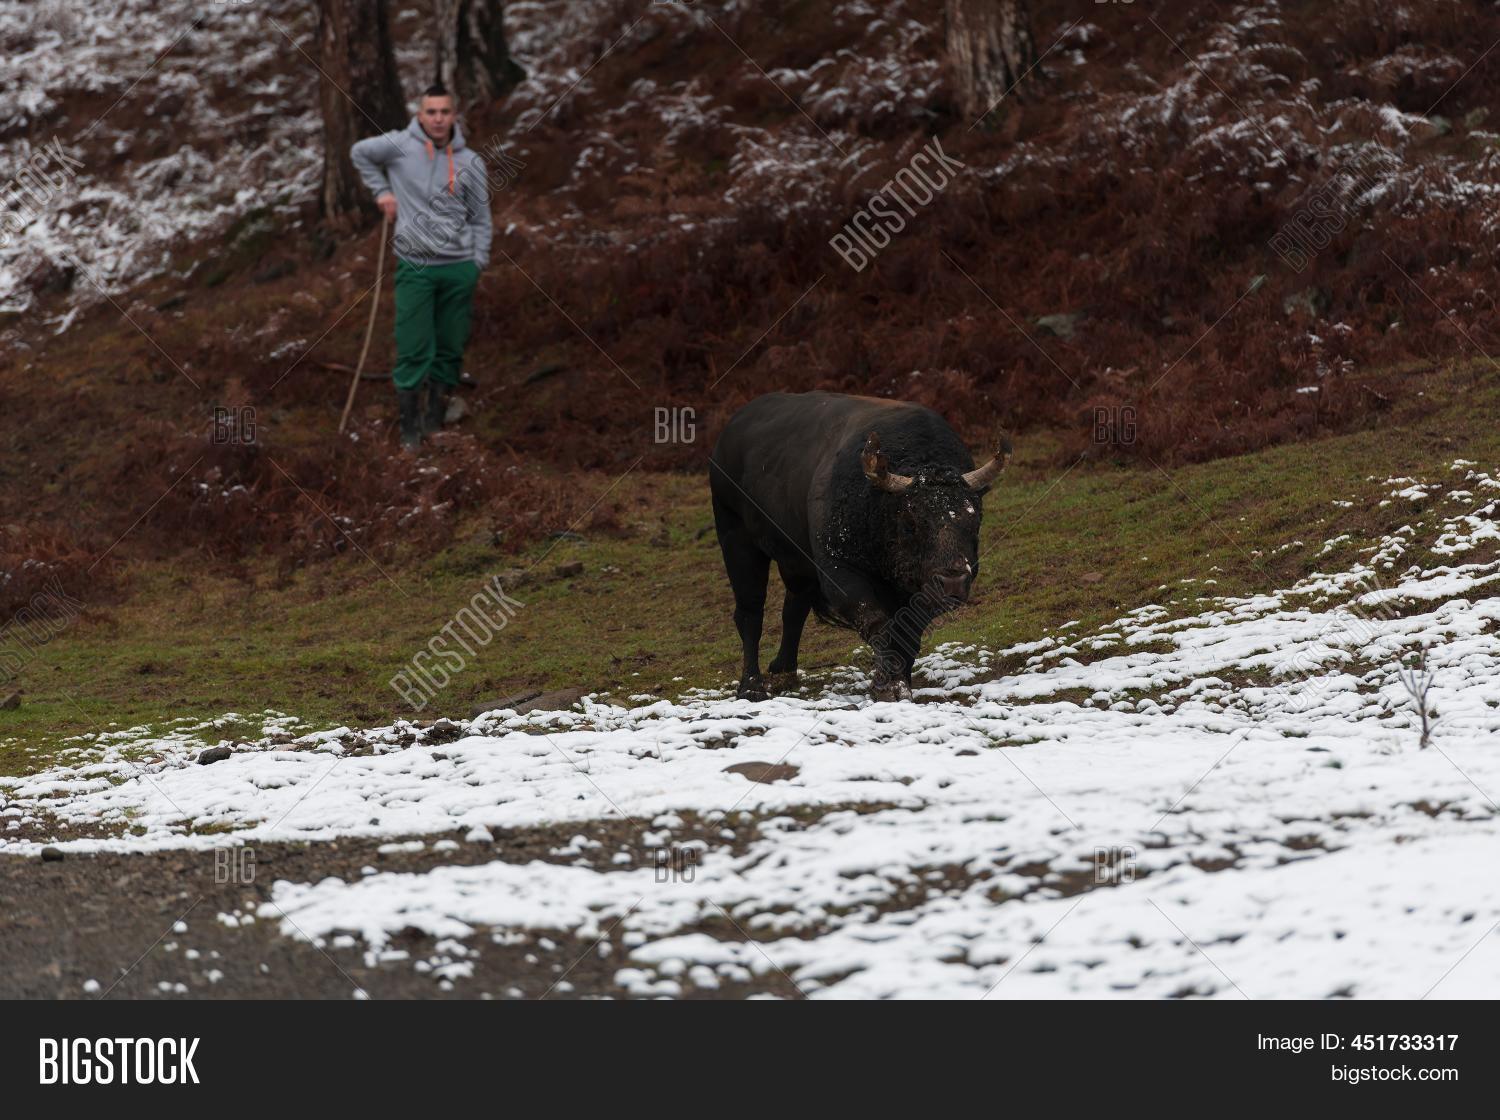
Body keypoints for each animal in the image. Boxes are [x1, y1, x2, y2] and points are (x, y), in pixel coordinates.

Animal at [709, 391, 1010, 701]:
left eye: (975, 518)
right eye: (911, 521)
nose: (952, 582)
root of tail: (730, 432)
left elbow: (907, 633)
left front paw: (899, 684)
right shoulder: (839, 571)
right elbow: (879, 624)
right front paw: (888, 687)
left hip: (796, 559)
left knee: (794, 606)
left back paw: (784, 672)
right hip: (737, 540)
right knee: (750, 612)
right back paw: (751, 686)